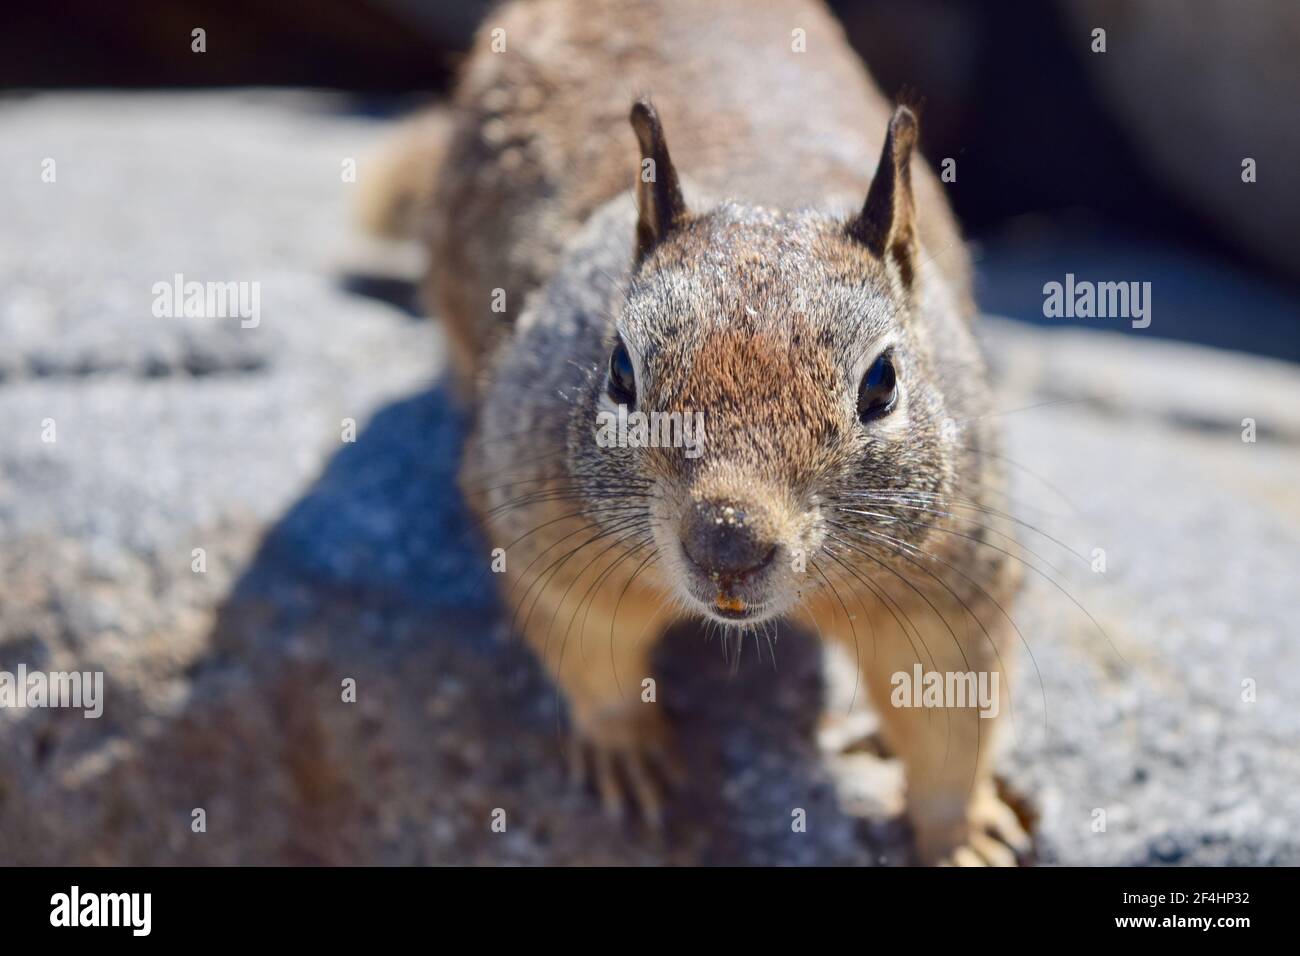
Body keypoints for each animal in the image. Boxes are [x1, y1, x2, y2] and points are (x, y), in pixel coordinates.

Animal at [363, 0, 1031, 866]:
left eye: (881, 382)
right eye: (619, 368)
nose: (728, 545)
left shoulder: (949, 577)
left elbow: (950, 717)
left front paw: (962, 835)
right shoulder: (544, 533)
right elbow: (589, 648)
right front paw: (629, 750)